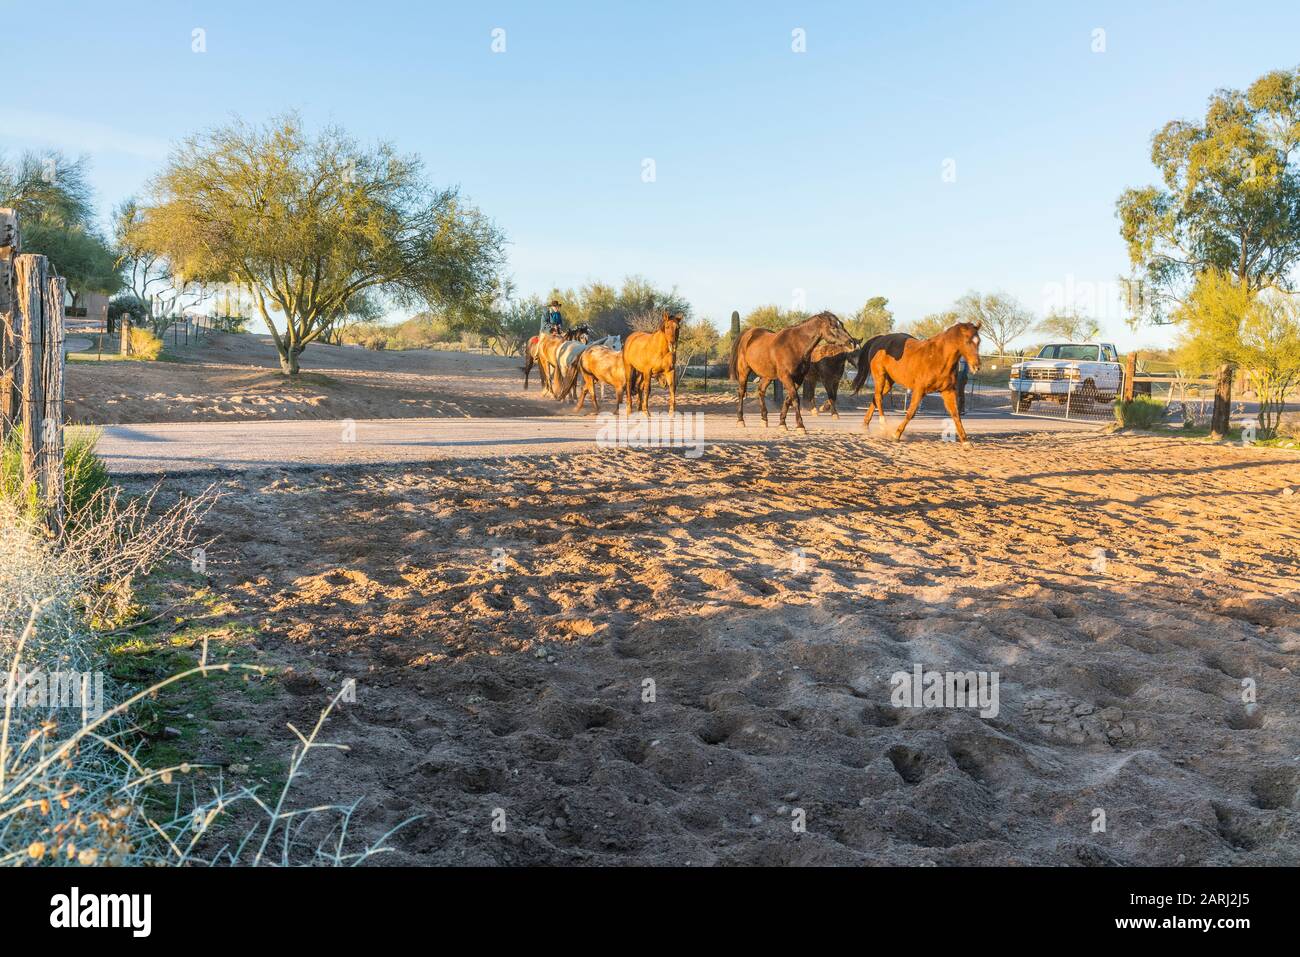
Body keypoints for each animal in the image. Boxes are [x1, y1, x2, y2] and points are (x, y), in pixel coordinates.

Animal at [849, 321, 982, 442]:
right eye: (967, 341)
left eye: (979, 341)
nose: (977, 365)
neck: (939, 358)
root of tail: (880, 339)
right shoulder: (919, 390)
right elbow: (911, 412)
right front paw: (896, 435)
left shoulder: (947, 391)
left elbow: (955, 414)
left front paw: (966, 441)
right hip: (880, 376)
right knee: (878, 397)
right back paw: (883, 423)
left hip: (888, 381)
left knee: (876, 397)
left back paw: (865, 425)